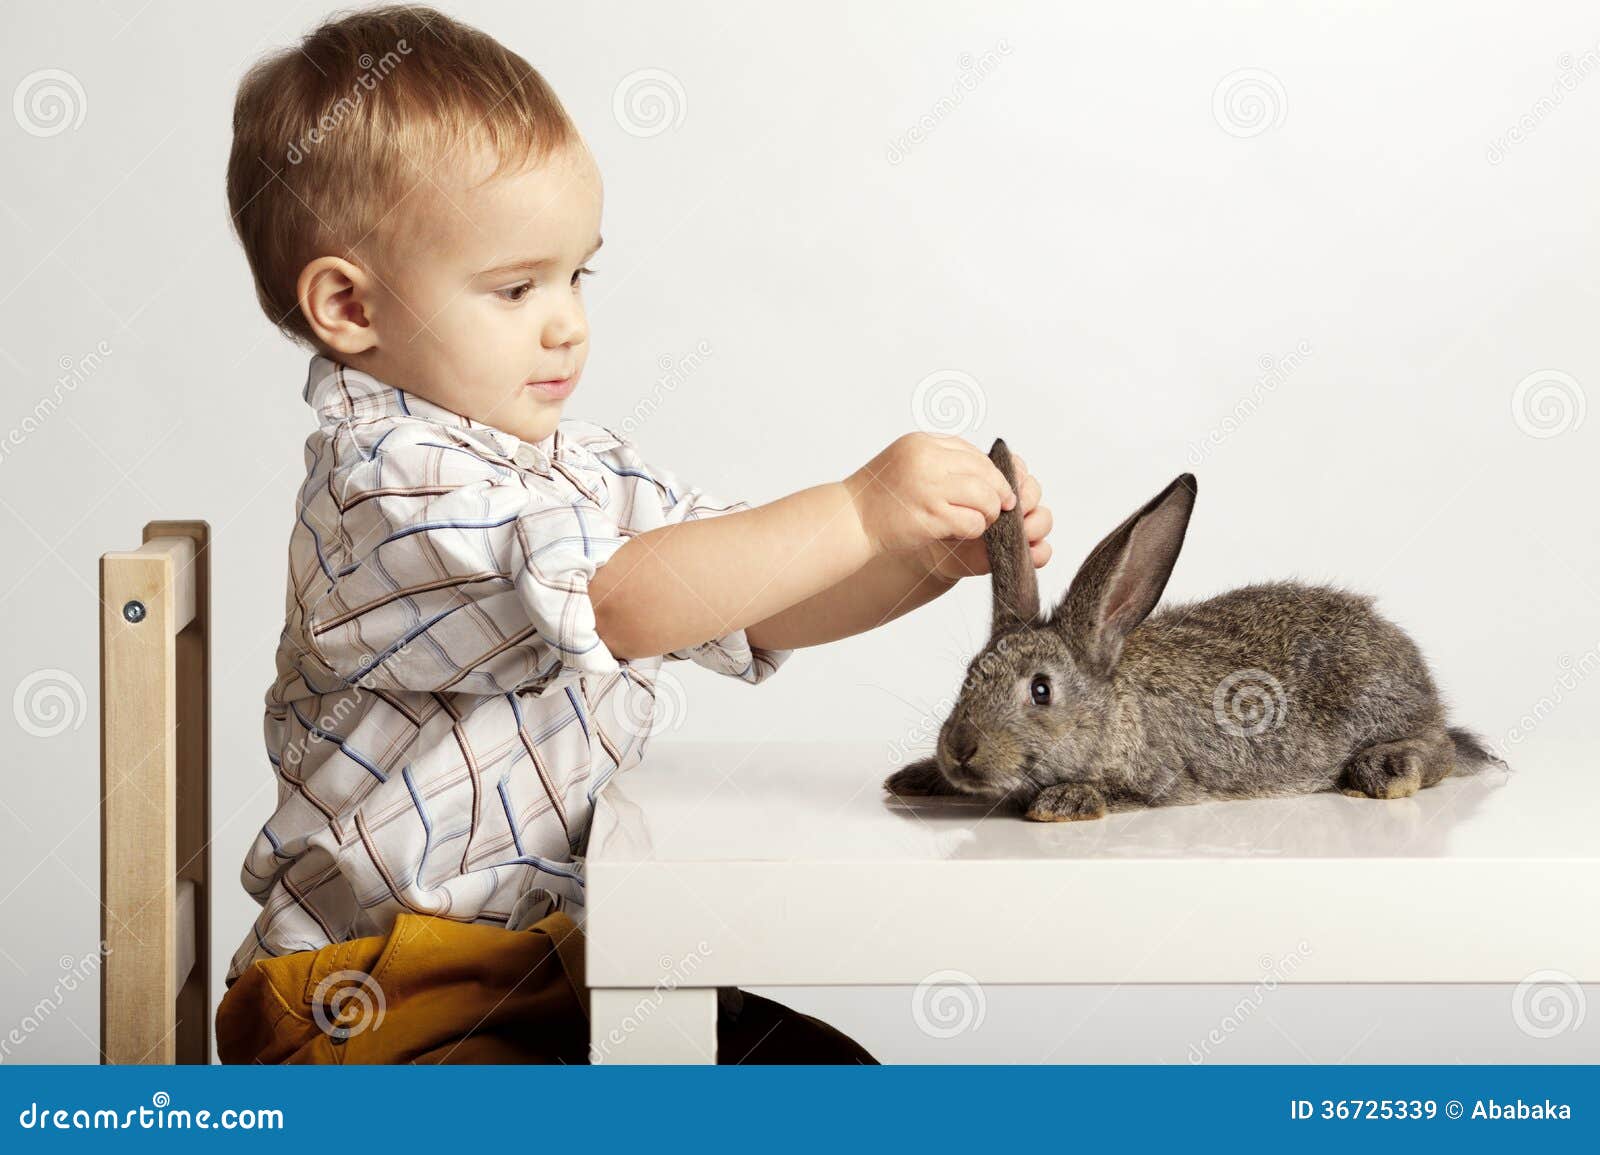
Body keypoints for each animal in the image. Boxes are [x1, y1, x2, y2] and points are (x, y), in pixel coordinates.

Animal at [884, 438, 1503, 822]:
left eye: (1041, 690)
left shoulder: (1161, 778)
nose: (960, 749)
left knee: (1443, 749)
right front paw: (916, 777)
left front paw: (1064, 802)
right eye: (968, 676)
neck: (1115, 707)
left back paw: (1385, 770)